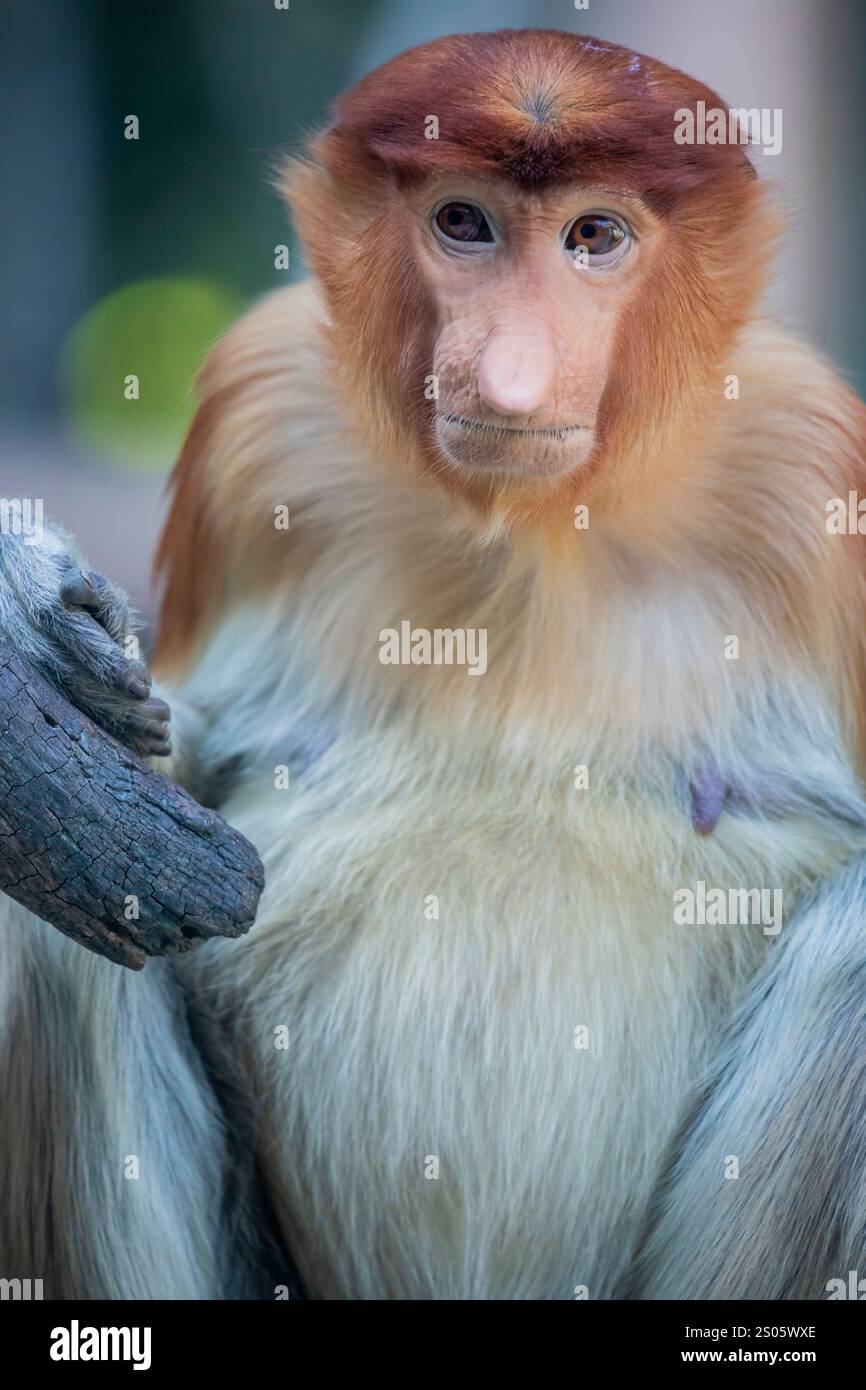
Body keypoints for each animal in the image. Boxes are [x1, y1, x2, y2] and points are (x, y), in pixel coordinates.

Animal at [1, 27, 866, 1300]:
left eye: (594, 236)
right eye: (462, 223)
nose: (505, 382)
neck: (528, 531)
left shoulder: (813, 473)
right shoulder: (262, 425)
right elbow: (173, 788)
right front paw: (32, 602)